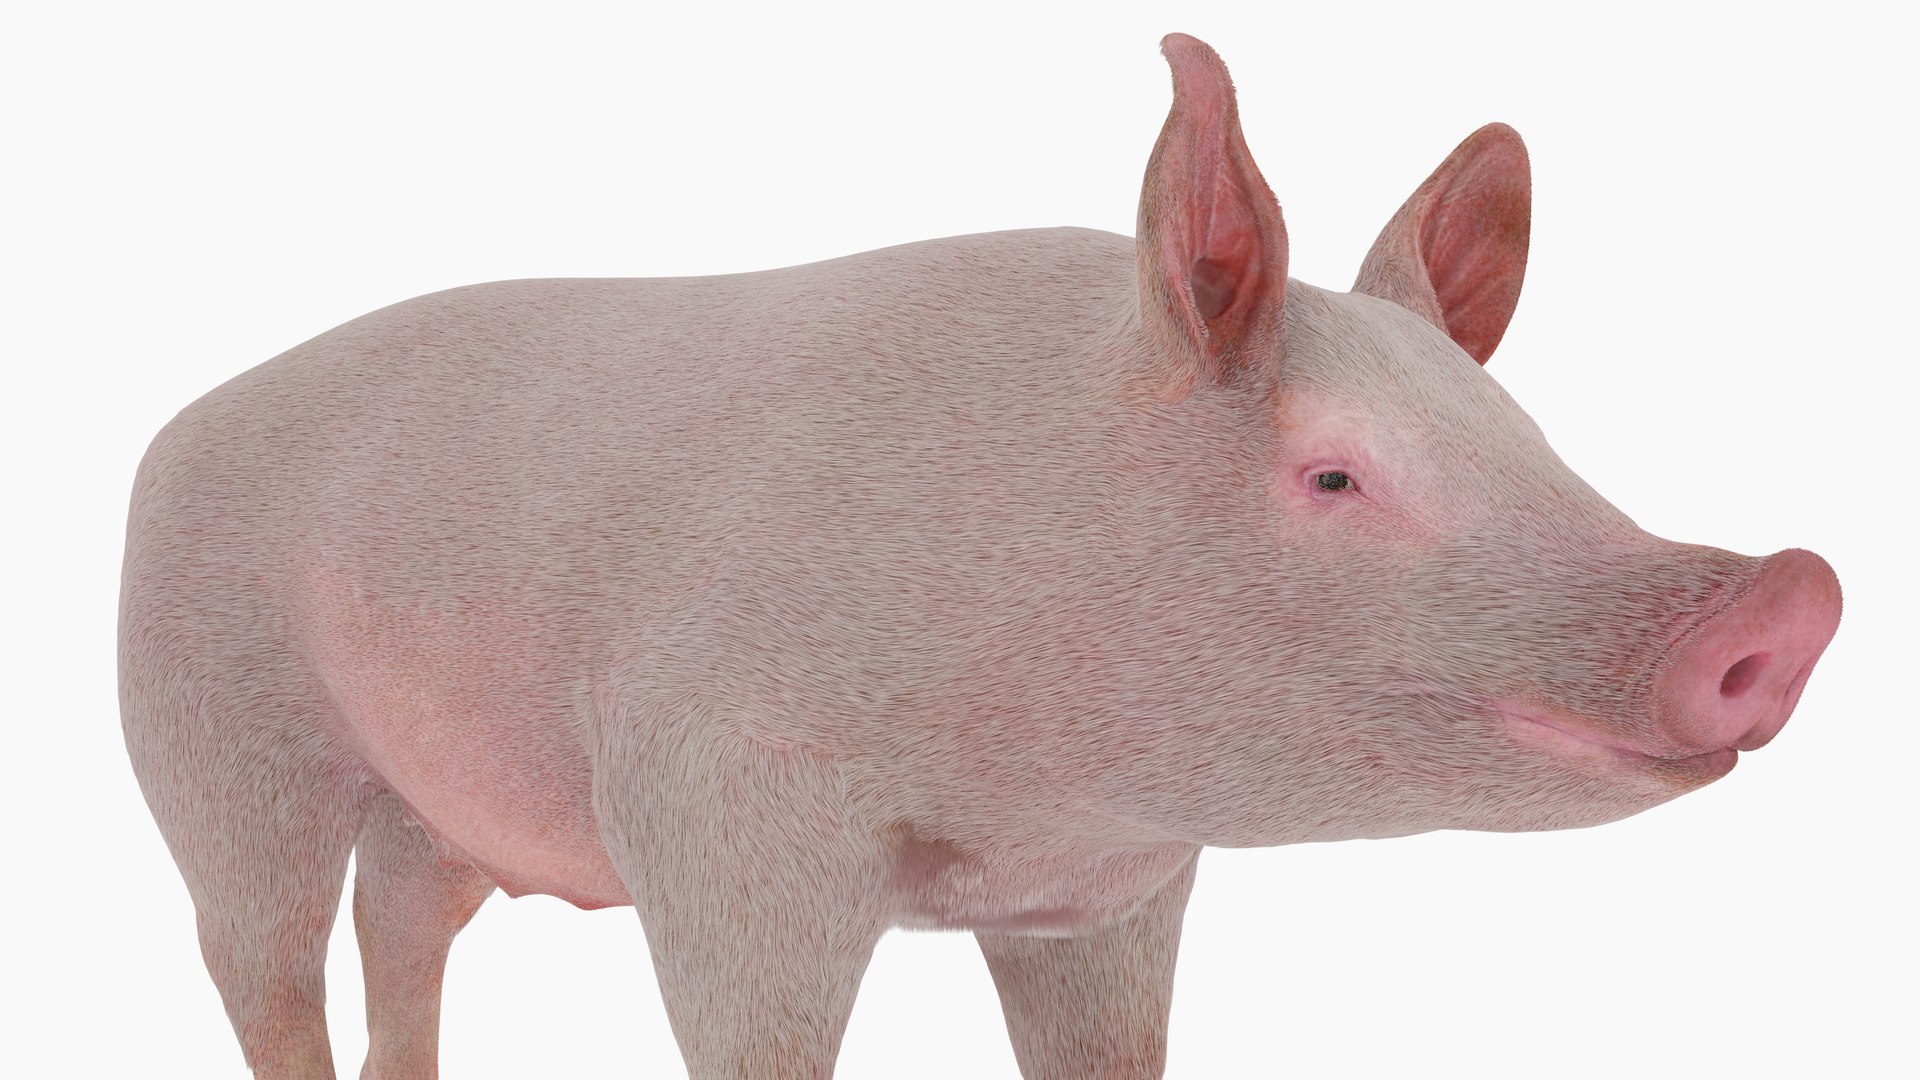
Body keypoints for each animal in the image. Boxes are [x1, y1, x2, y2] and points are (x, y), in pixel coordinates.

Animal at [119, 31, 1841, 1080]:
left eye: (1527, 435)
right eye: (1336, 473)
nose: (1791, 588)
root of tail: (173, 430)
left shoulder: (1118, 892)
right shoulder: (717, 804)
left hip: (436, 801)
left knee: (402, 920)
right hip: (211, 734)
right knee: (261, 957)